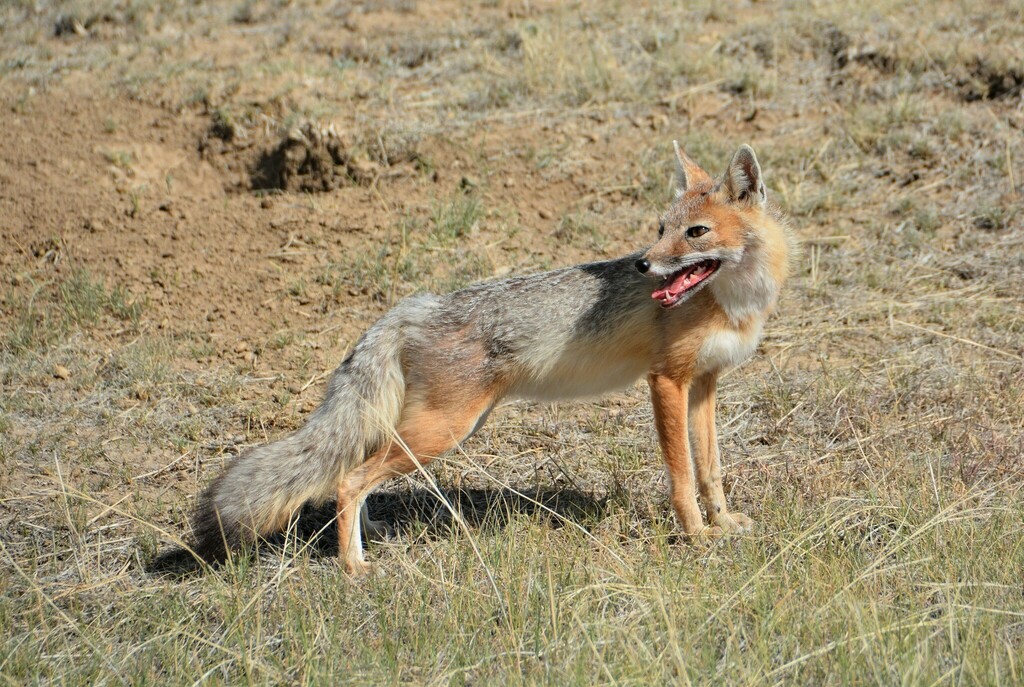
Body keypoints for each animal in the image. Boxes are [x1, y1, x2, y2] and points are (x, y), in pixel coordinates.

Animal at [172, 142, 794, 574]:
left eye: (696, 233)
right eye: (662, 230)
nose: (643, 265)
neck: (732, 303)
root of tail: (414, 305)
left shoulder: (704, 384)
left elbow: (711, 468)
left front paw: (724, 522)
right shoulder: (665, 382)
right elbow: (683, 474)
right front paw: (695, 536)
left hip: (430, 431)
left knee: (355, 474)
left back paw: (369, 538)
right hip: (443, 432)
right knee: (348, 479)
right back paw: (354, 566)